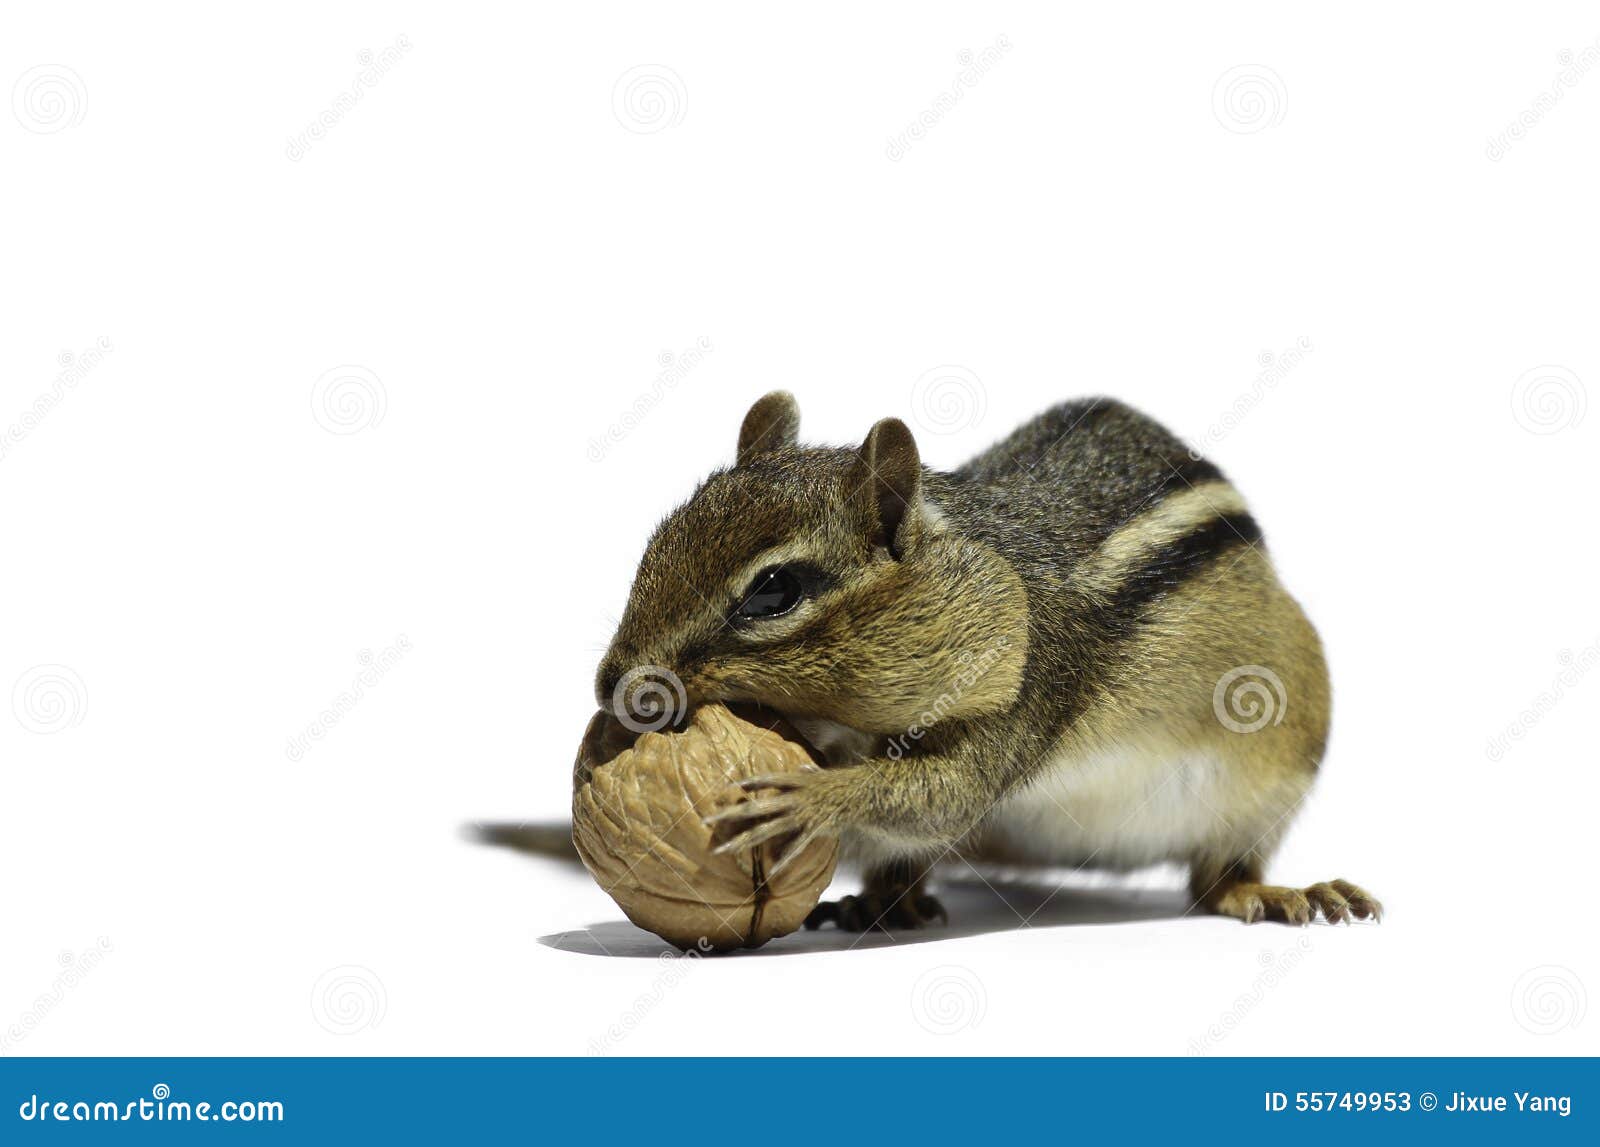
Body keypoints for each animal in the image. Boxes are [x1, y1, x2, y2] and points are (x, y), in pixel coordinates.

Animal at [593, 391, 1381, 931]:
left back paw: (1278, 891)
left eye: (774, 590)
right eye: (656, 544)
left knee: (1217, 880)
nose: (612, 686)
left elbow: (949, 791)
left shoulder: (1028, 685)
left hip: (1269, 780)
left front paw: (810, 795)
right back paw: (882, 903)